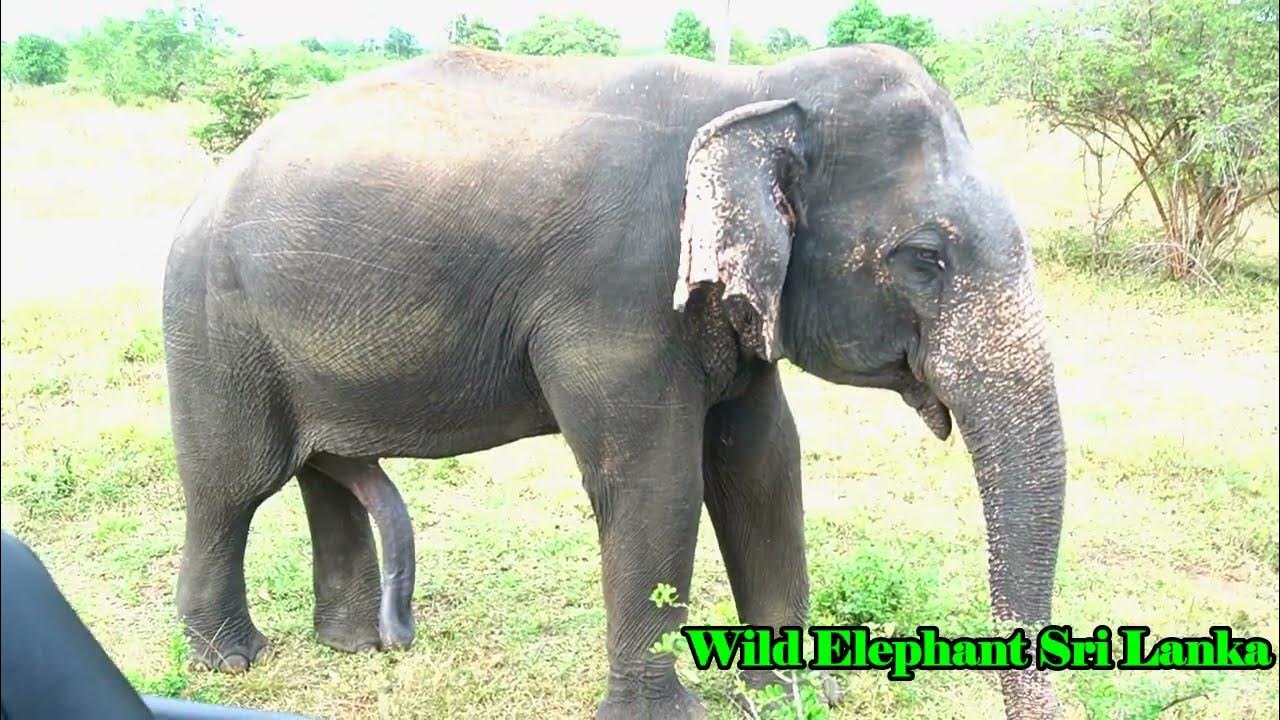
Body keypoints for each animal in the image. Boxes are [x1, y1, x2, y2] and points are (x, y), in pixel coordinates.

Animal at [161, 44, 1067, 719]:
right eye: (925, 259)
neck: (755, 91)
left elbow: (763, 465)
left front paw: (796, 696)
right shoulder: (616, 293)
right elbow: (654, 479)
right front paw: (668, 716)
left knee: (322, 473)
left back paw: (349, 646)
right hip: (213, 322)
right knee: (233, 485)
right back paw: (230, 662)